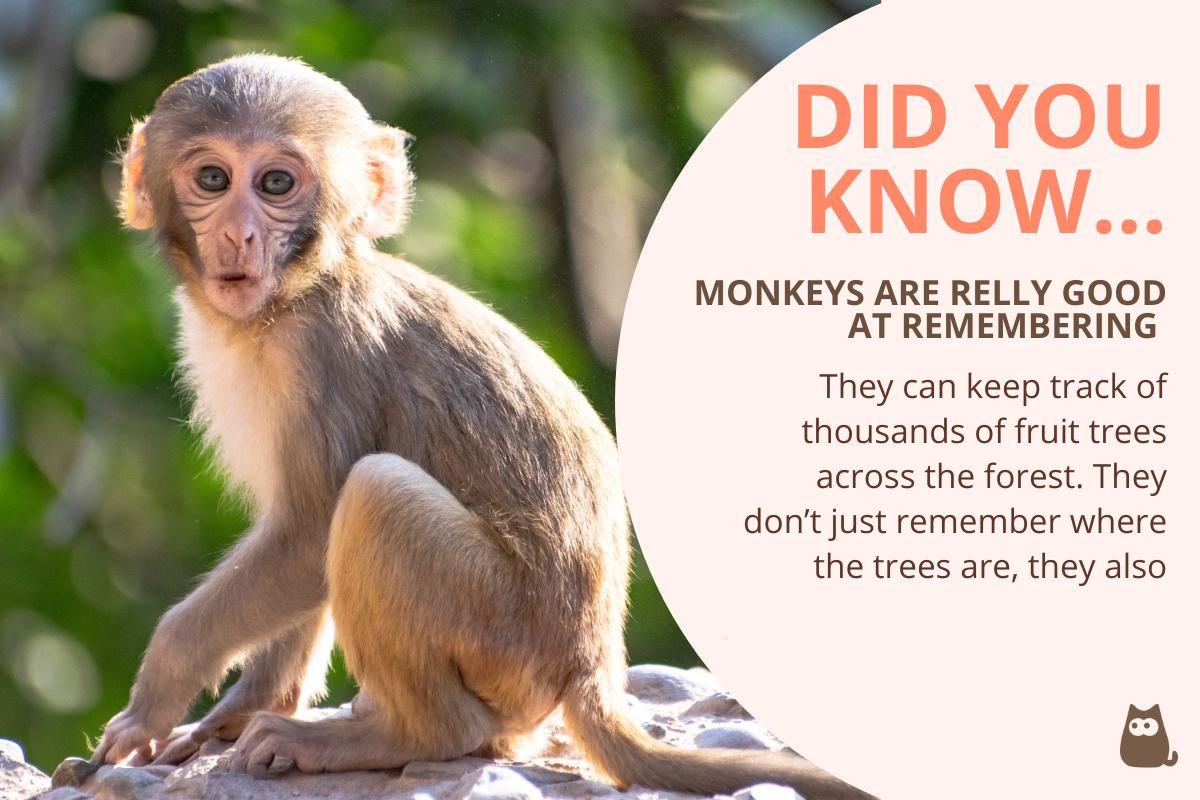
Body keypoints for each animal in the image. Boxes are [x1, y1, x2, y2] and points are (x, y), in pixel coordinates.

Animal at [89, 55, 874, 800]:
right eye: (213, 178)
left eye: (277, 182)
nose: (239, 232)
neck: (295, 294)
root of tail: (591, 661)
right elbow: (294, 544)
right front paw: (238, 710)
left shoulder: (322, 356)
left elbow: (308, 532)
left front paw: (156, 694)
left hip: (503, 631)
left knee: (375, 495)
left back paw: (401, 735)